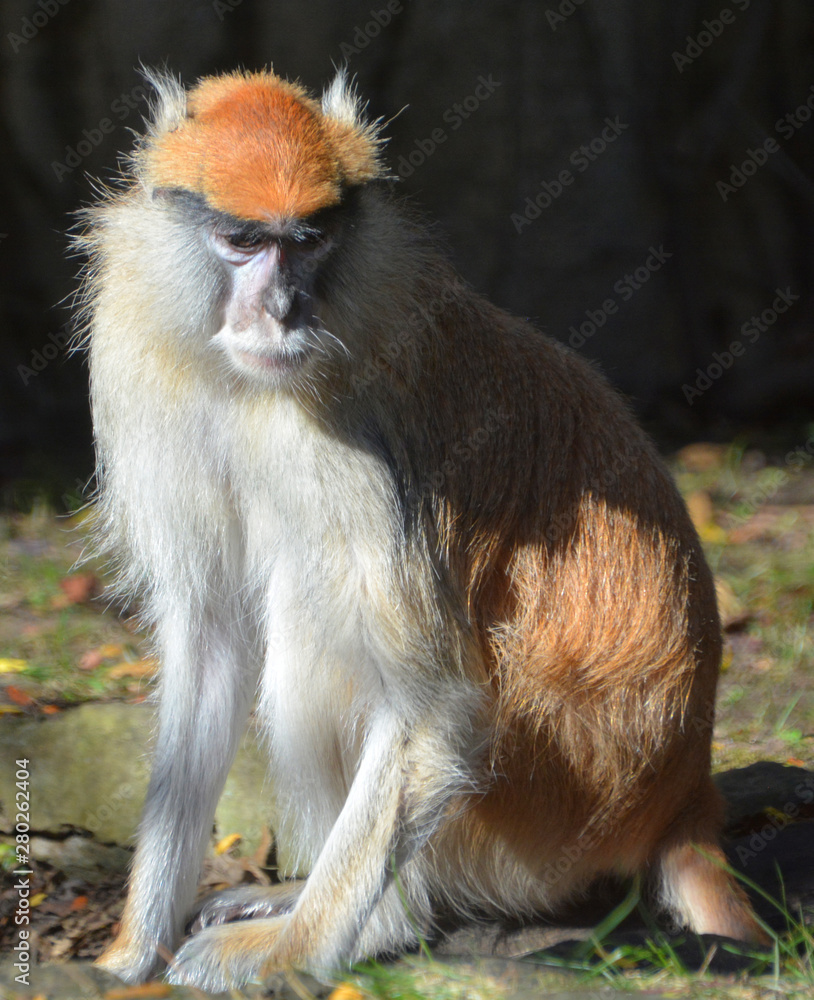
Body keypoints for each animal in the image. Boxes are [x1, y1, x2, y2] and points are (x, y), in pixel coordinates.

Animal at [76, 67, 766, 991]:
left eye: (309, 241)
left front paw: (289, 955)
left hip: (546, 809)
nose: (283, 310)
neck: (248, 386)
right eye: (243, 241)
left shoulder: (347, 450)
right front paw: (127, 952)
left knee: (312, 643)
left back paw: (375, 923)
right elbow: (210, 639)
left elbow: (434, 717)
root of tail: (683, 793)